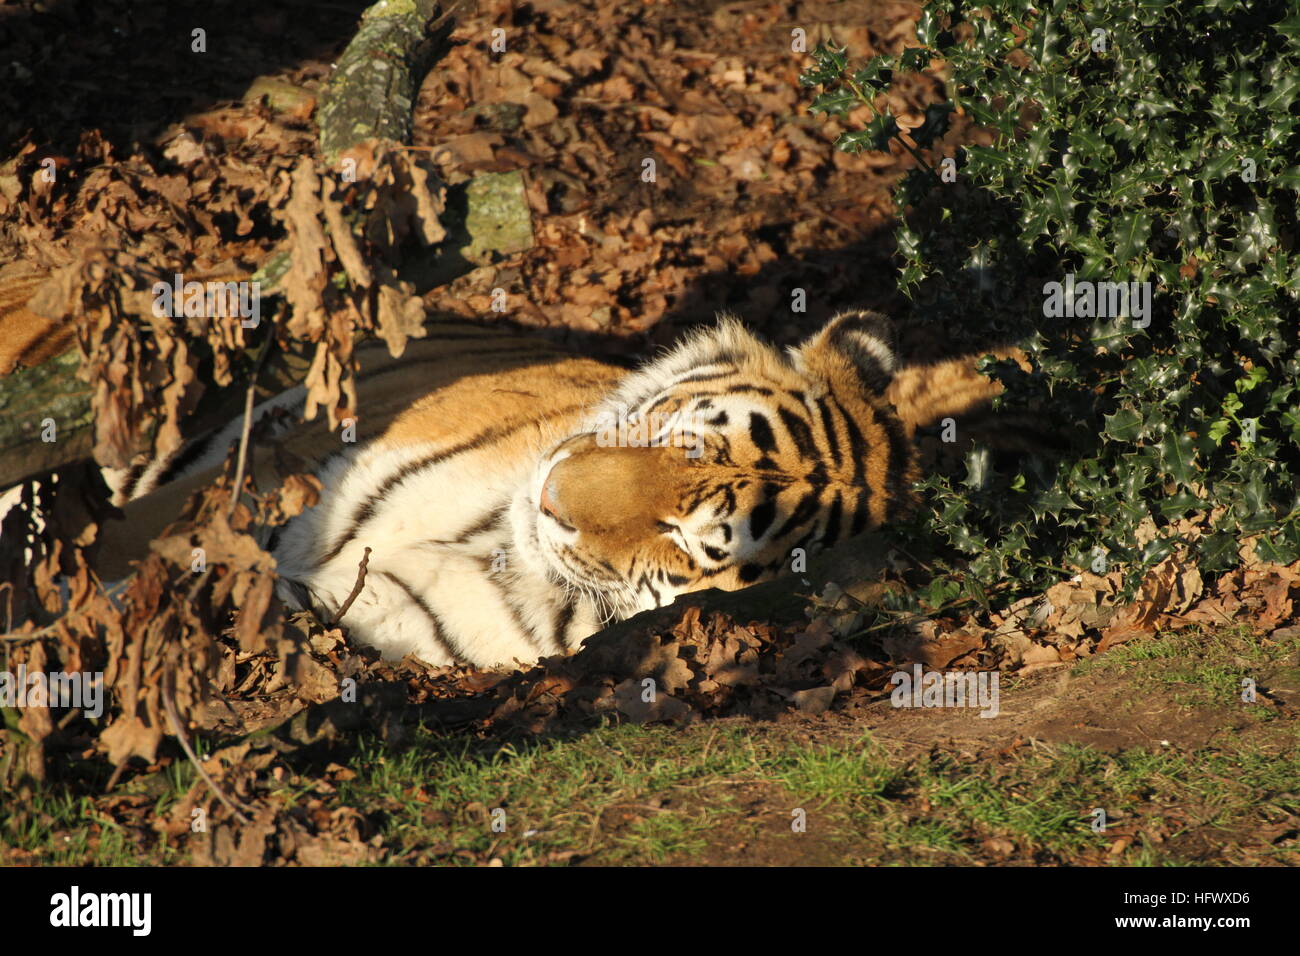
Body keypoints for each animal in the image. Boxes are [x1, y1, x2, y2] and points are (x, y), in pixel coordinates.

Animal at [30, 308, 1007, 670]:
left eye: (695, 541)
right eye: (683, 438)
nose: (552, 501)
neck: (488, 542)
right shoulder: (268, 477)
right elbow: (118, 549)